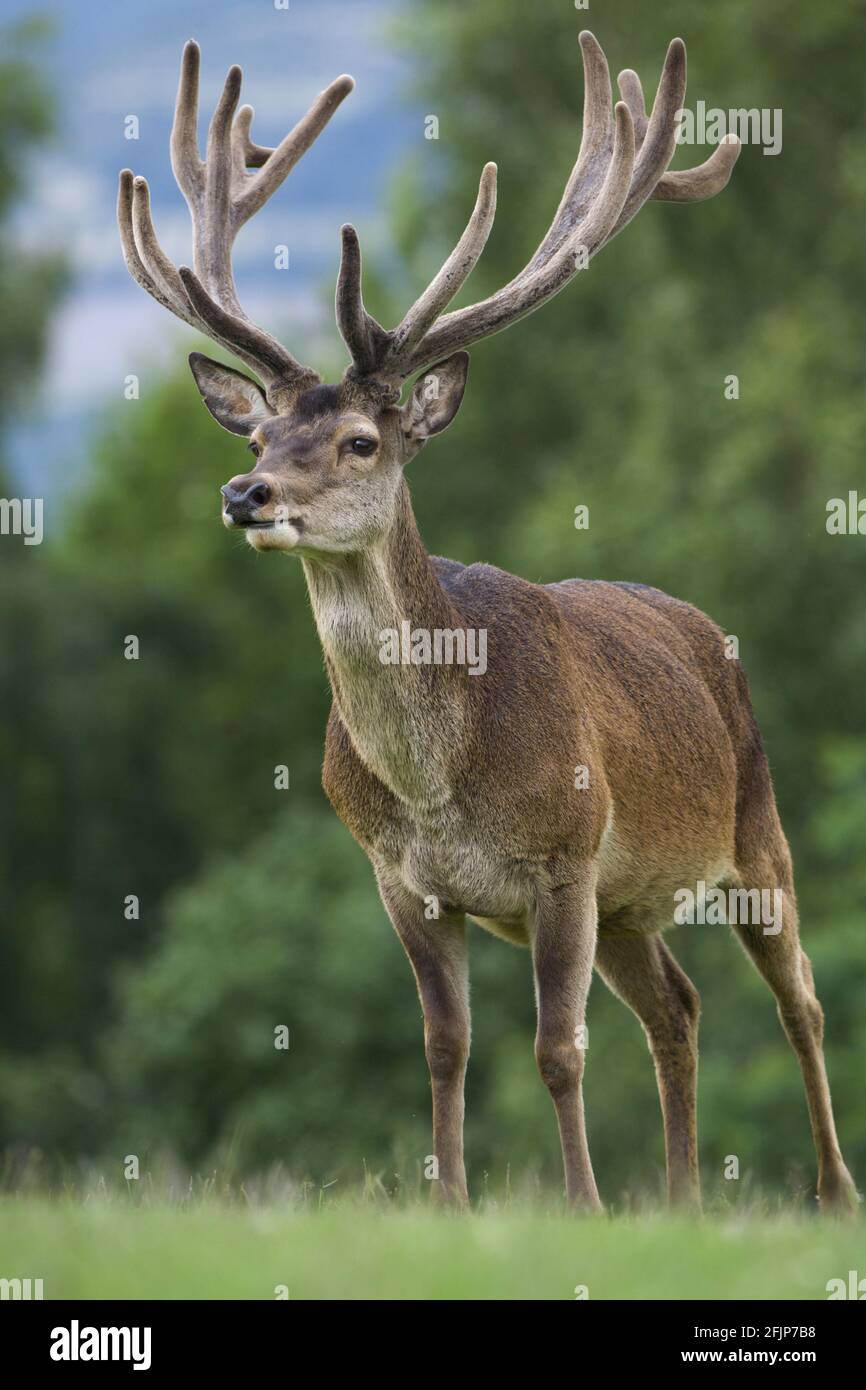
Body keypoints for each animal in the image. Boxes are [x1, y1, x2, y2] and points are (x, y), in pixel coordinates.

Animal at [118, 28, 858, 1214]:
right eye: (258, 437)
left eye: (363, 442)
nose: (246, 496)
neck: (438, 783)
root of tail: (706, 631)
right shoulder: (400, 878)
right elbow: (445, 1044)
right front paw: (450, 1204)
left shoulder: (564, 854)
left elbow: (556, 1048)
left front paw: (583, 1205)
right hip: (633, 900)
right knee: (679, 1005)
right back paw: (683, 1196)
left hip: (753, 828)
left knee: (802, 1000)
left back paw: (831, 1193)